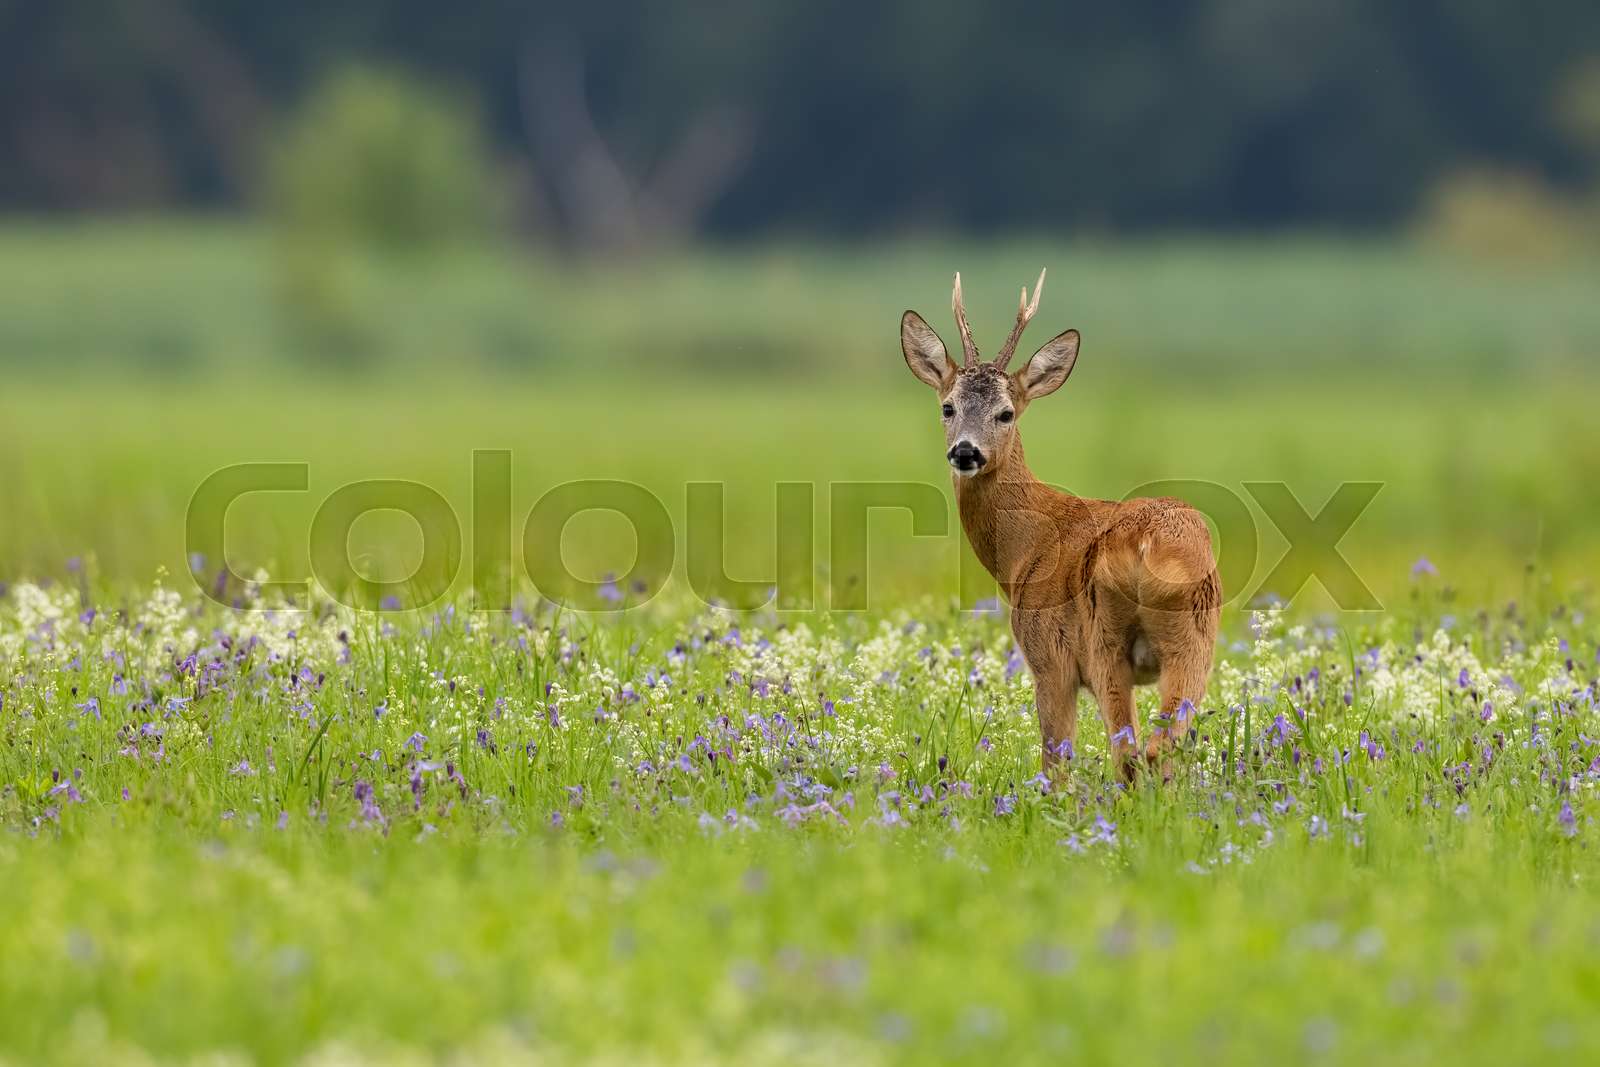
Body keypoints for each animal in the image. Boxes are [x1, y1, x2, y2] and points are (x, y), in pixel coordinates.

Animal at [900, 271, 1220, 782]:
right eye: (947, 407)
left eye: (1006, 412)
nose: (966, 451)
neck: (1024, 551)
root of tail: (1152, 545)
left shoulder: (1048, 656)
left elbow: (1055, 762)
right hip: (1195, 639)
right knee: (1162, 745)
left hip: (1105, 639)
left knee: (1132, 753)